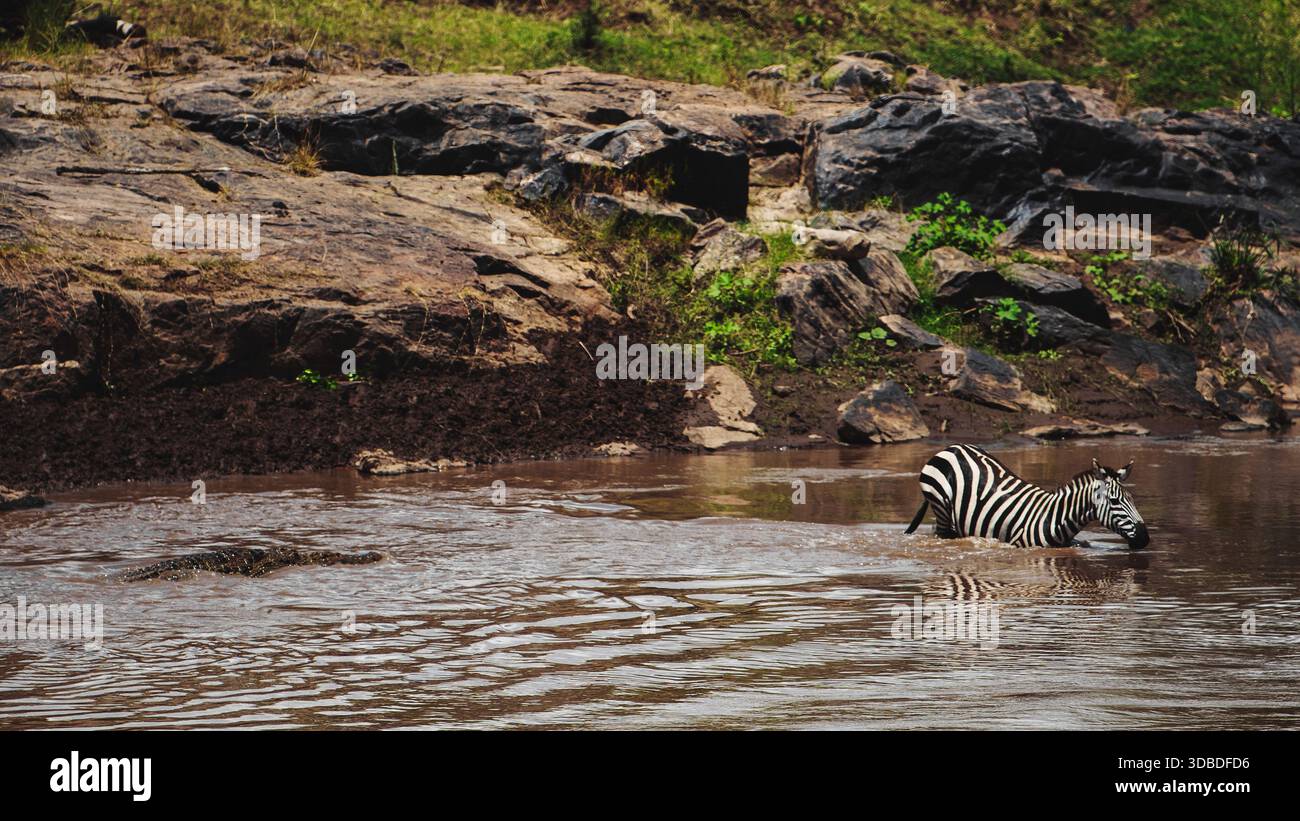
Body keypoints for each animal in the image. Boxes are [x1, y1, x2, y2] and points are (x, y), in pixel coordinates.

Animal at [904, 444, 1149, 549]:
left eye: (1132, 500)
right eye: (1115, 501)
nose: (1145, 538)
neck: (1055, 519)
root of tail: (949, 448)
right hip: (941, 505)